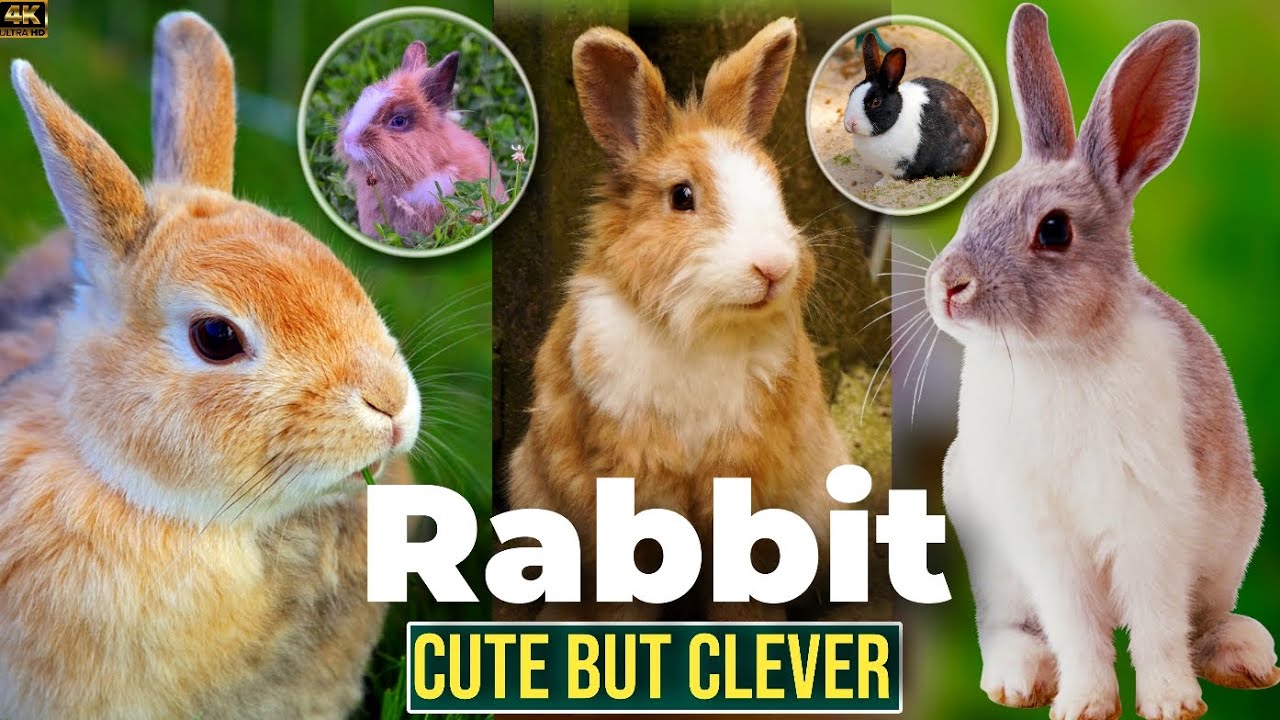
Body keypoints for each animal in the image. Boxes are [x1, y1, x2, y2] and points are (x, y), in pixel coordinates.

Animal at [504, 18, 850, 623]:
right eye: (682, 196)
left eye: (775, 187)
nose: (774, 268)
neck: (701, 328)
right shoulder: (629, 474)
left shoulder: (742, 472)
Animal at [843, 34, 986, 186]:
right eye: (851, 92)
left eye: (876, 102)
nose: (850, 123)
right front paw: (879, 184)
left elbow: (895, 177)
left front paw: (882, 185)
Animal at [927, 5, 1277, 720]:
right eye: (974, 209)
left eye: (1054, 230)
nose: (948, 286)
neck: (1059, 354)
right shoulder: (1044, 537)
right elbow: (1075, 626)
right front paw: (1086, 703)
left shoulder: (1150, 520)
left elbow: (1158, 623)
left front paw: (1171, 703)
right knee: (1005, 625)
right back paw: (1018, 679)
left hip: (1234, 537)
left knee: (1202, 619)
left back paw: (1246, 657)